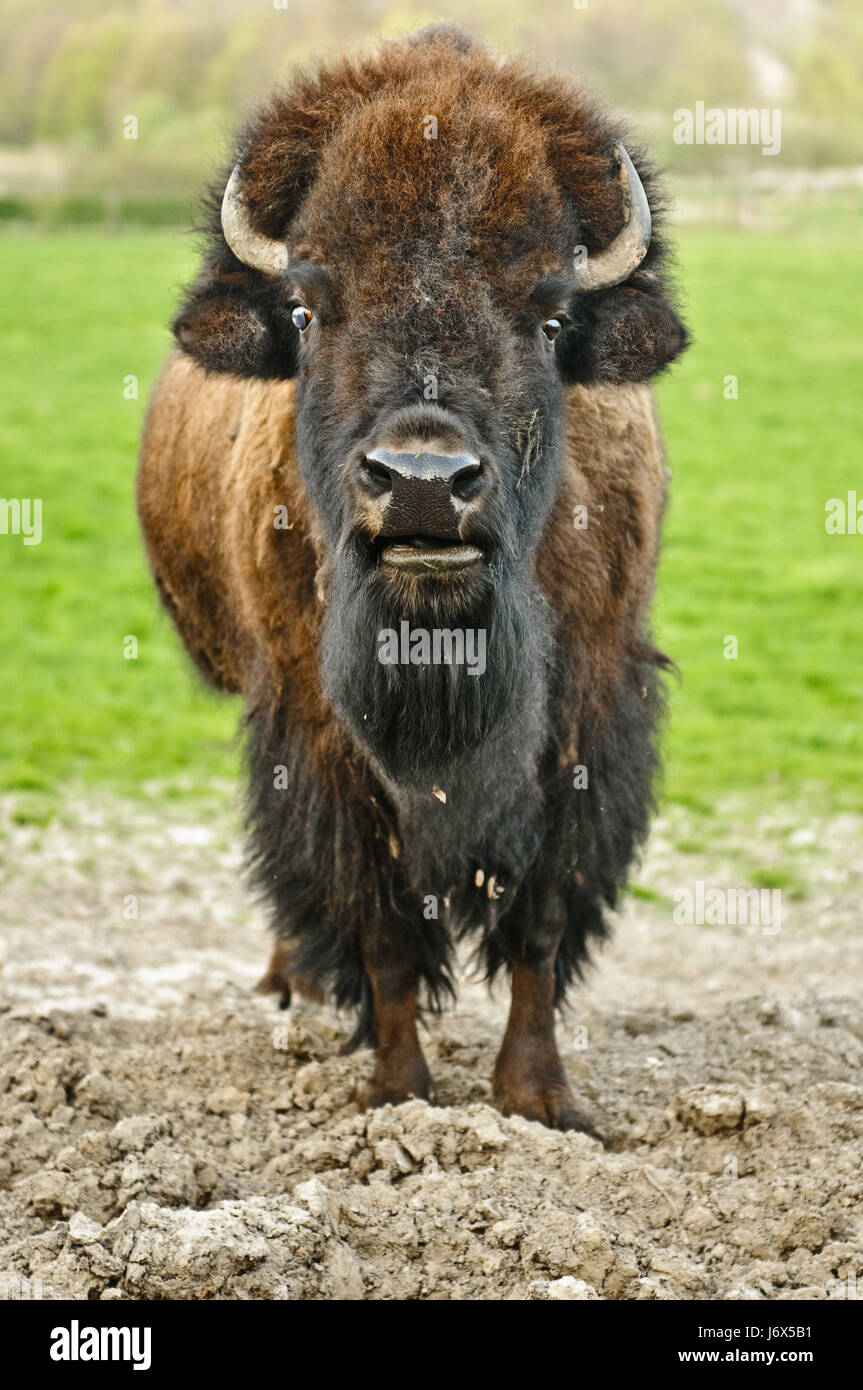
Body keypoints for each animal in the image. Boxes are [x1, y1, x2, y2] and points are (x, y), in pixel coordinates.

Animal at [138, 24, 689, 1130]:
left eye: (550, 319)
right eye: (306, 309)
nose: (424, 485)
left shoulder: (585, 717)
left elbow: (539, 920)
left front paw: (538, 1098)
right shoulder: (315, 729)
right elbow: (380, 923)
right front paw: (396, 1093)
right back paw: (293, 986)